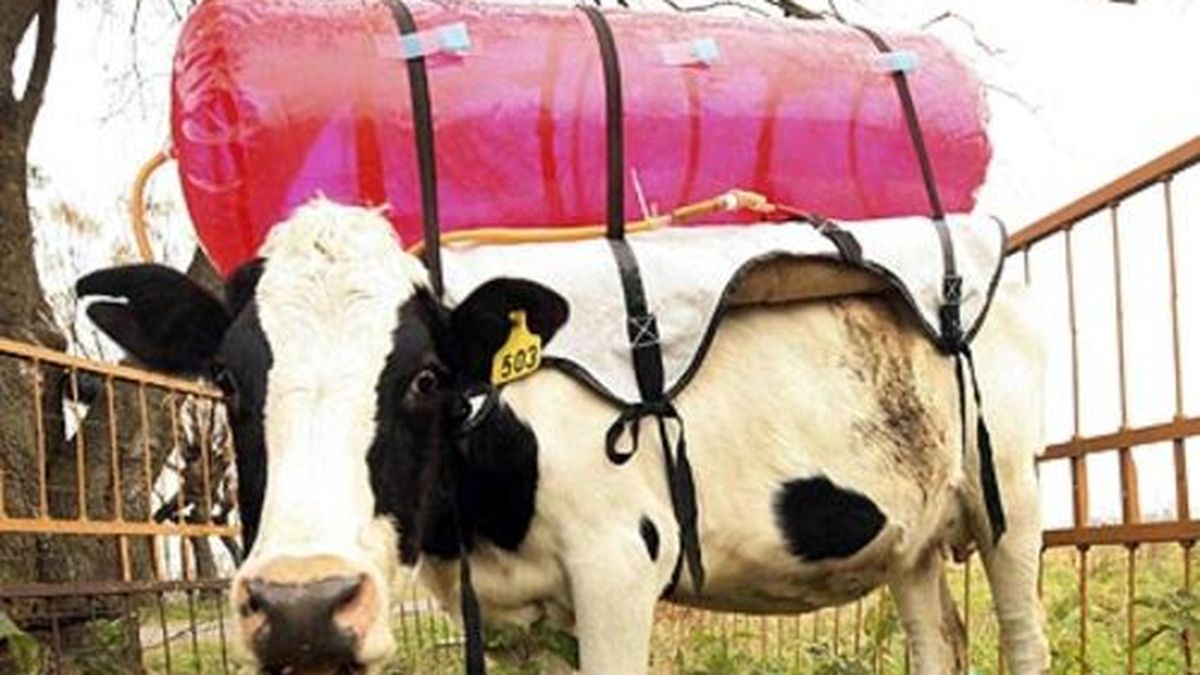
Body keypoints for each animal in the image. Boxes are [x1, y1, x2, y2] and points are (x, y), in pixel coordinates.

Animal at [77, 199, 1050, 674]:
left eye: (426, 378)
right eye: (225, 379)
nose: (303, 604)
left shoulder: (618, 569)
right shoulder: (513, 621)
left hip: (1010, 495)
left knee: (1019, 631)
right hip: (908, 532)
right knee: (936, 637)